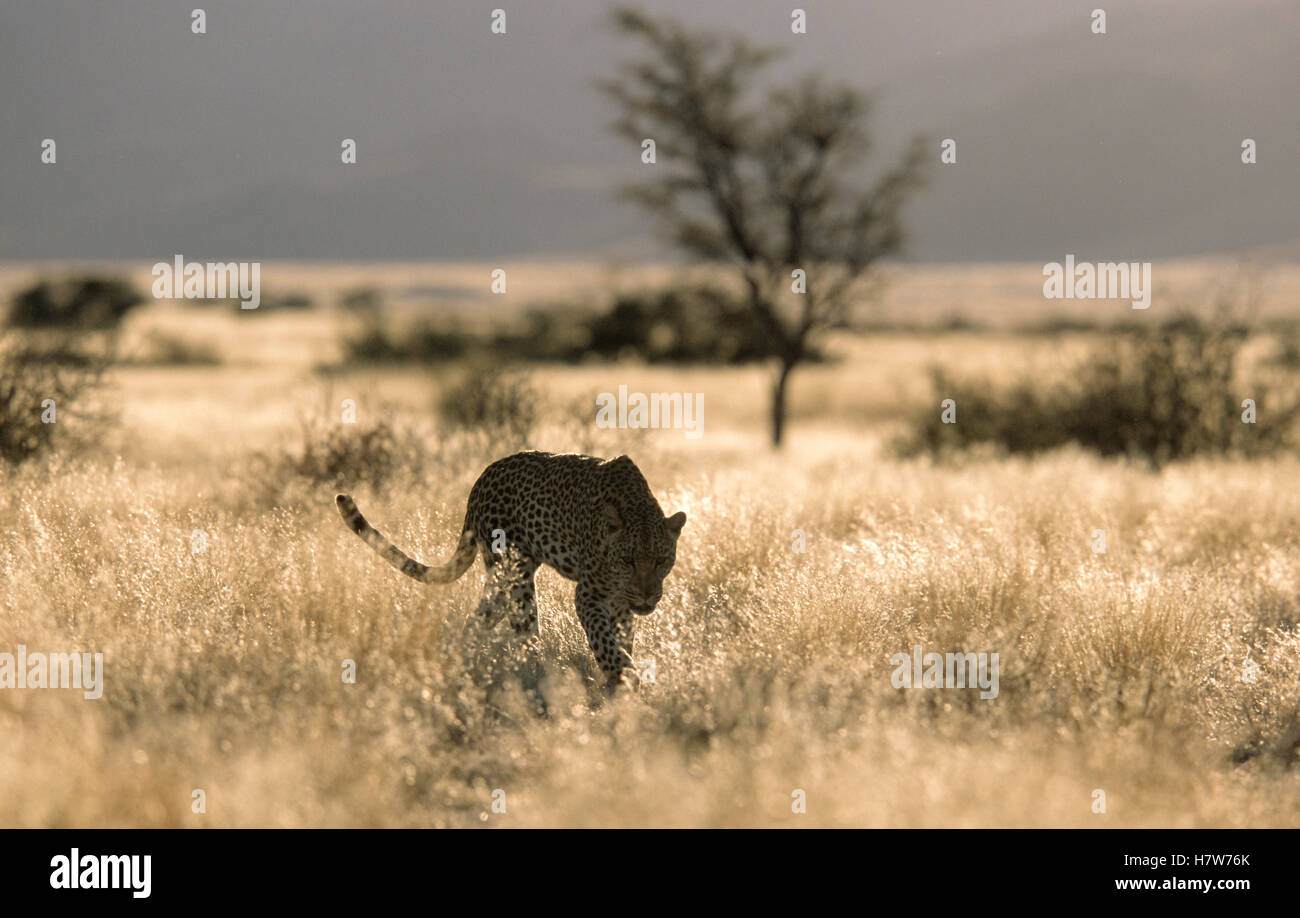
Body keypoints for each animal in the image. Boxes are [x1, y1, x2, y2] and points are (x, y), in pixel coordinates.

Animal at [336, 450, 686, 687]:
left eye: (661, 560)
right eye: (628, 560)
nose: (647, 596)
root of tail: (480, 481)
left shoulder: (620, 603)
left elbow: (621, 637)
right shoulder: (588, 594)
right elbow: (604, 639)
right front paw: (622, 676)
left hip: (501, 585)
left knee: (477, 620)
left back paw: (464, 661)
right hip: (516, 575)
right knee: (525, 636)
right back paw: (535, 678)